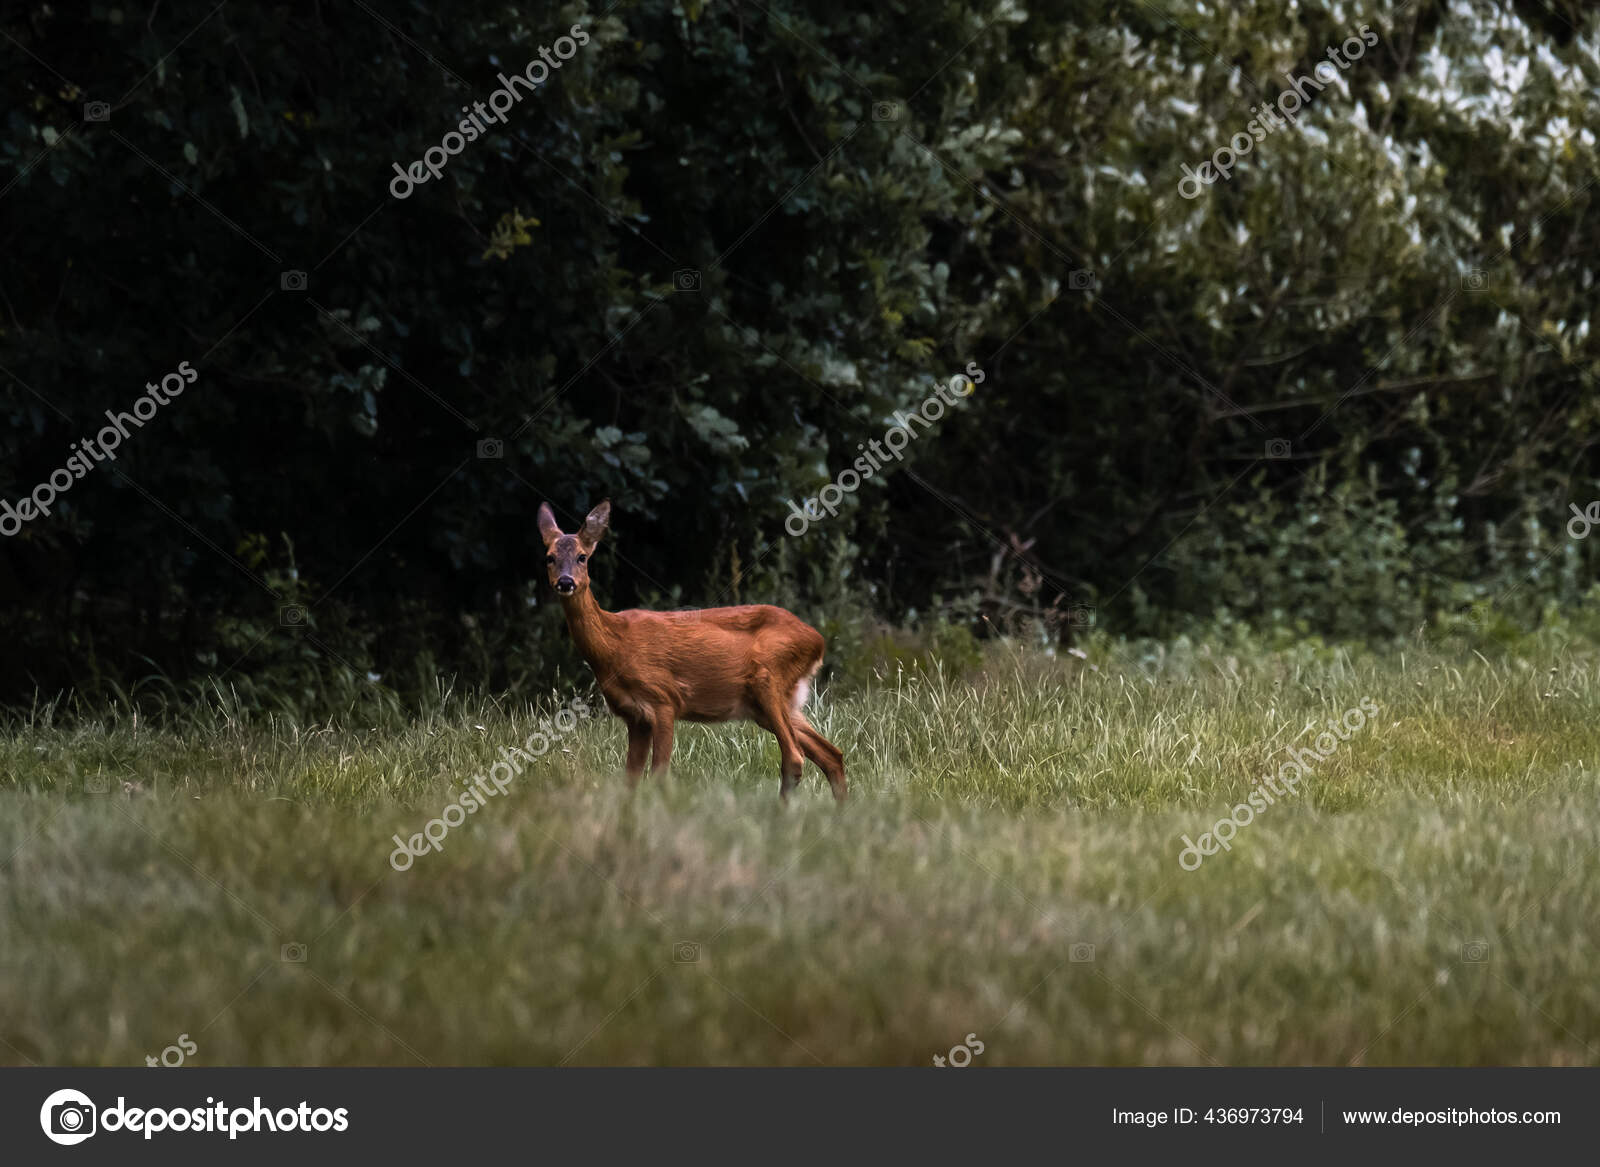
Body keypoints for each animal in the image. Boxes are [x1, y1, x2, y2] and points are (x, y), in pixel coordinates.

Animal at [538, 500, 847, 803]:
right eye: (549, 557)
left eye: (582, 557)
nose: (565, 582)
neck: (614, 647)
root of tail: (817, 640)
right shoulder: (635, 717)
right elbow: (631, 780)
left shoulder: (664, 700)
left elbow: (659, 774)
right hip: (772, 703)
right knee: (831, 753)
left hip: (768, 679)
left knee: (795, 757)